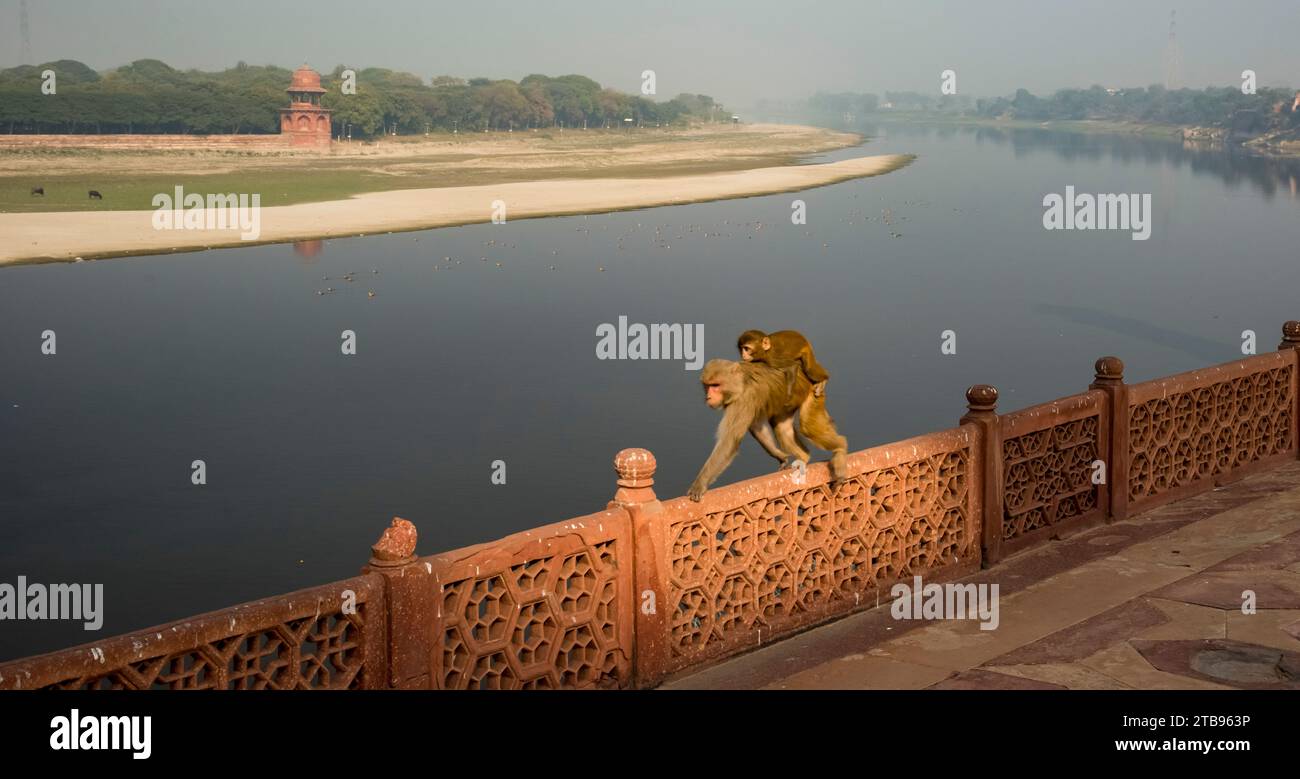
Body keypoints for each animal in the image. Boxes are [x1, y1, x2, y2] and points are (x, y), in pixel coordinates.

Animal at [688, 358, 849, 501]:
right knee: (782, 428)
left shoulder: (744, 398)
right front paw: (780, 456)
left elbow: (729, 440)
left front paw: (700, 484)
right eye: (707, 386)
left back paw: (840, 448)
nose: (708, 397)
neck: (740, 382)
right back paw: (803, 457)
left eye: (715, 385)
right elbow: (756, 426)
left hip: (812, 392)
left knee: (807, 427)